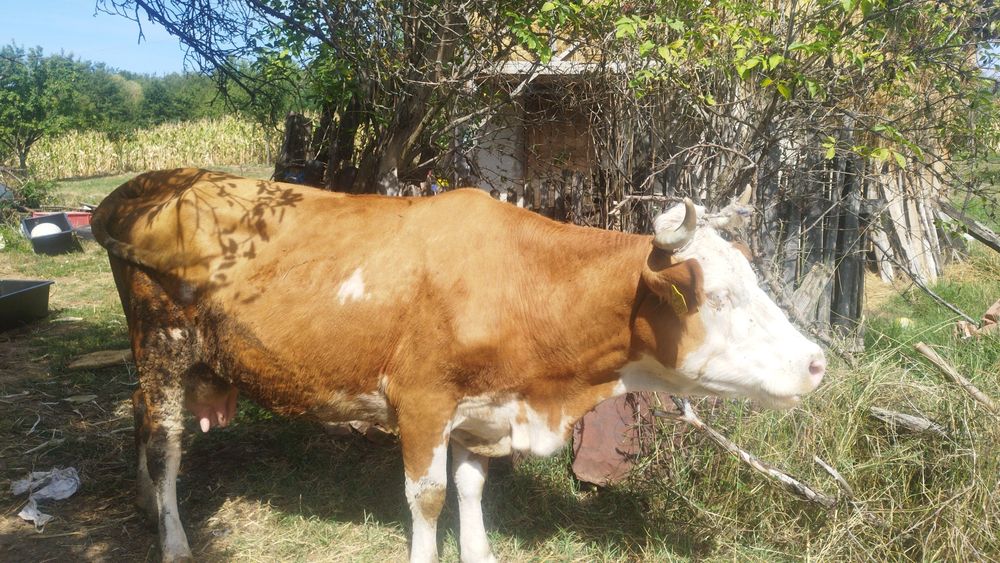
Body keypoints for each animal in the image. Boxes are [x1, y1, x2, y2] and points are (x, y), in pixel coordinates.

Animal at [91, 168, 826, 563]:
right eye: (720, 296)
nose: (817, 363)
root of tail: (151, 184)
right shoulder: (421, 399)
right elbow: (430, 495)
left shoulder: (483, 405)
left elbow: (471, 489)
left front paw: (479, 550)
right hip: (162, 343)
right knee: (165, 444)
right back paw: (173, 536)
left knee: (139, 420)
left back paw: (144, 502)